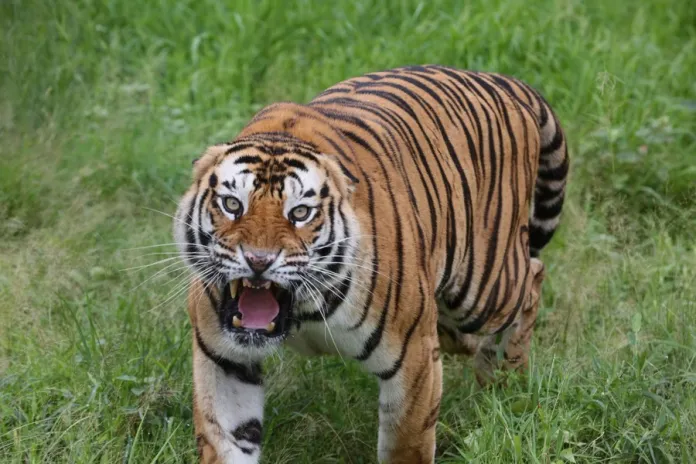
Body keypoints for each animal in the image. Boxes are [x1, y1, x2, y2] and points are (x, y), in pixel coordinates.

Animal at [174, 65, 568, 463]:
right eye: (232, 205)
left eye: (300, 213)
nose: (258, 260)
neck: (300, 314)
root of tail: (502, 81)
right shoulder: (224, 359)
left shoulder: (414, 358)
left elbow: (406, 445)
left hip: (483, 289)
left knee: (533, 276)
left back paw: (503, 376)